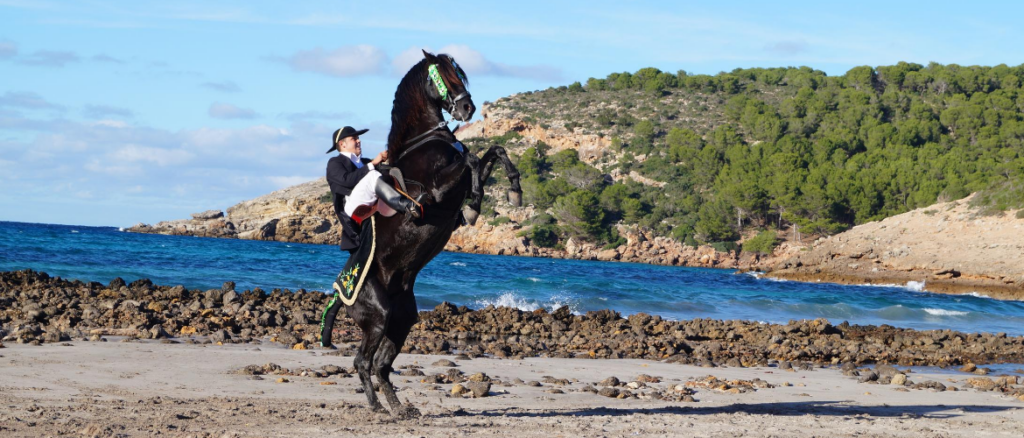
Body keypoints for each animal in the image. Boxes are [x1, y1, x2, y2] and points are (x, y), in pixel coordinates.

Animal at [333, 50, 521, 416]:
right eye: (444, 75)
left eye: (459, 74)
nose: (468, 109)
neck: (423, 142)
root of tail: (339, 294)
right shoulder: (436, 192)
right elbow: (473, 161)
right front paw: (476, 202)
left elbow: (493, 152)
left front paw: (511, 190)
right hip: (378, 316)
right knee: (363, 362)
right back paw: (378, 408)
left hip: (402, 319)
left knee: (381, 365)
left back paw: (400, 409)